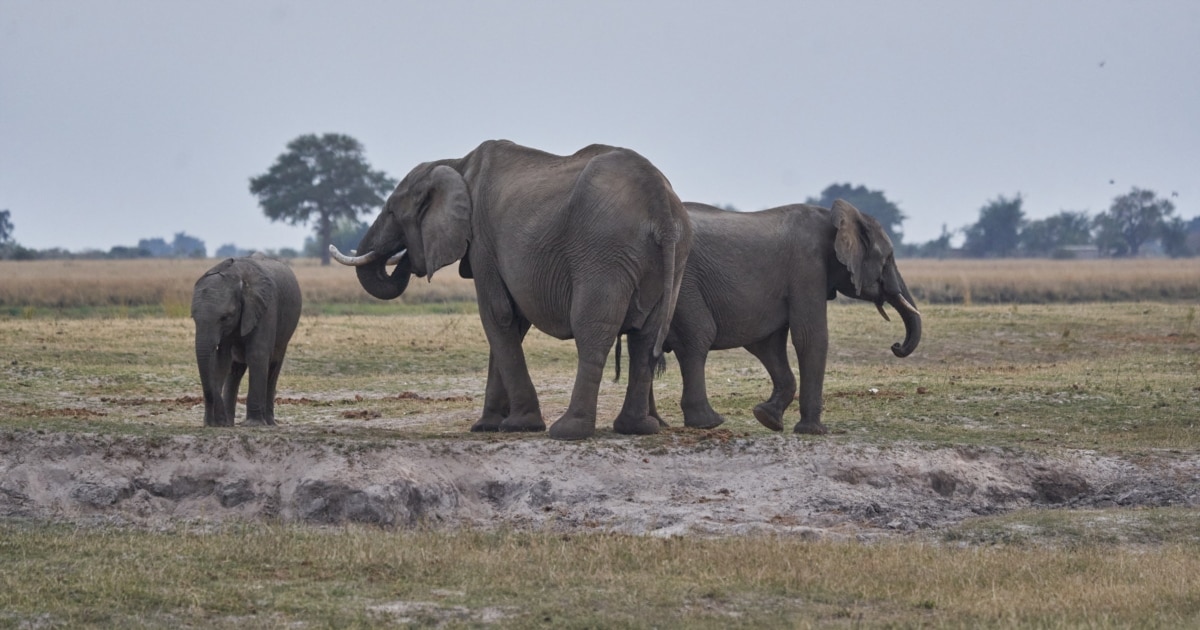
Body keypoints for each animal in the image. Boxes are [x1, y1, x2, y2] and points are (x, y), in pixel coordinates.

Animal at [191, 253, 302, 427]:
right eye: (193, 317)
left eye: (225, 317)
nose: (212, 422)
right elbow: (222, 361)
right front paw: (219, 424)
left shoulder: (266, 307)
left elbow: (257, 355)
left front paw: (253, 424)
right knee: (234, 370)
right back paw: (230, 423)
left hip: (285, 334)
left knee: (273, 367)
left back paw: (269, 423)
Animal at [331, 140, 691, 440]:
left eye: (392, 210)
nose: (401, 256)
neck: (455, 164)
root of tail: (660, 206)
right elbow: (511, 323)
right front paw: (487, 426)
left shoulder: (483, 242)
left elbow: (497, 315)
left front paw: (519, 425)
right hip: (671, 257)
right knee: (645, 337)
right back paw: (636, 429)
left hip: (603, 251)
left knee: (593, 332)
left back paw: (568, 431)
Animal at [648, 200, 921, 434]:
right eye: (888, 258)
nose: (896, 345)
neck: (835, 217)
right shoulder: (808, 267)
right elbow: (810, 336)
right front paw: (814, 431)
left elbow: (767, 344)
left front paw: (767, 418)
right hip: (682, 284)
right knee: (697, 337)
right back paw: (707, 423)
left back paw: (657, 424)